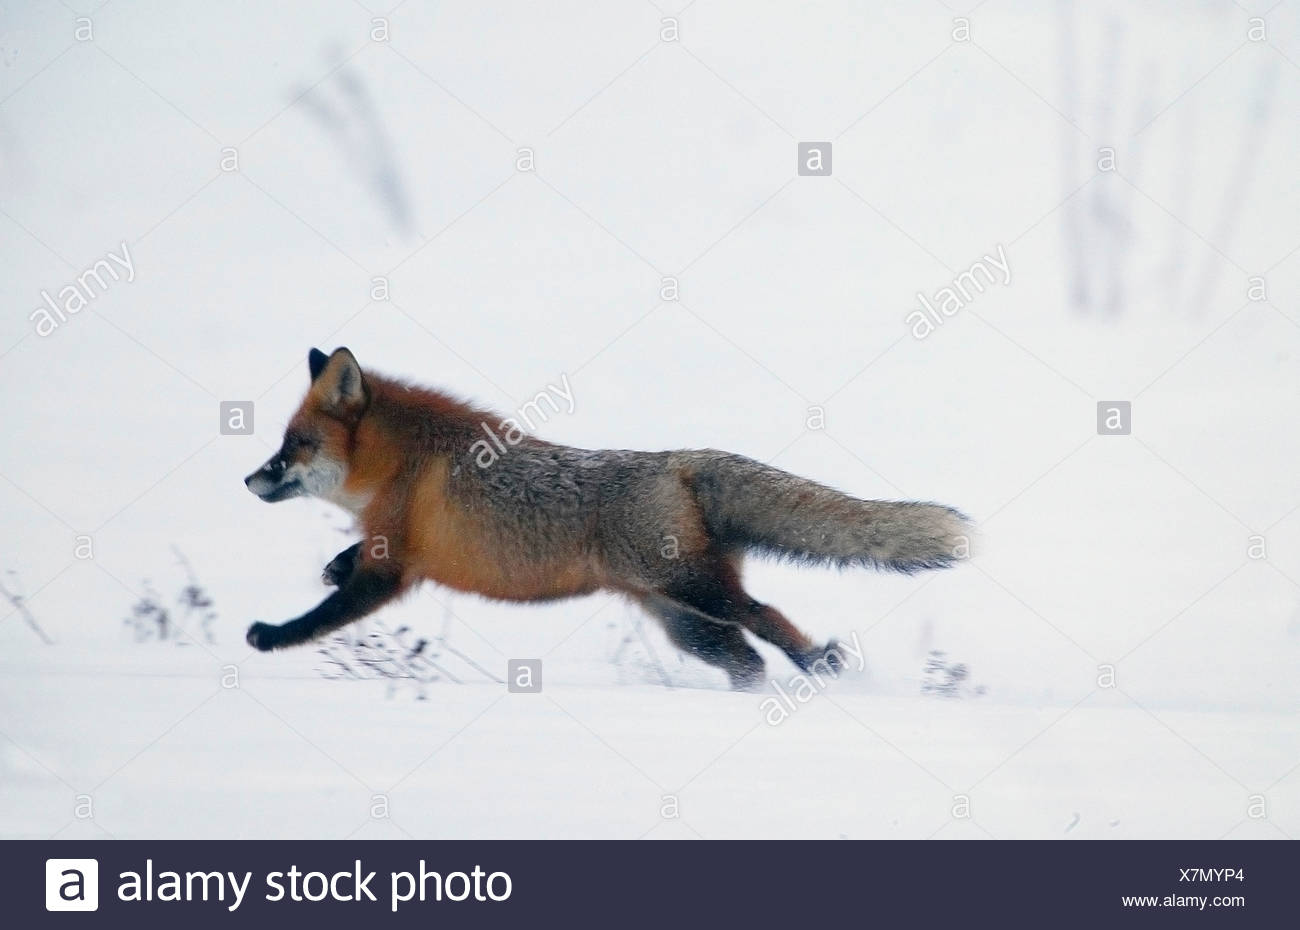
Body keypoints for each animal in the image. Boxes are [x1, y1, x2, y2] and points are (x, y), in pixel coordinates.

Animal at [243, 347, 972, 689]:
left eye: (294, 446)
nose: (250, 480)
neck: (405, 468)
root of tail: (679, 461)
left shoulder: (393, 572)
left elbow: (321, 618)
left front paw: (269, 636)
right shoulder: (385, 548)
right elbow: (342, 567)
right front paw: (328, 566)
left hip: (697, 593)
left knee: (766, 617)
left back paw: (820, 665)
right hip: (687, 625)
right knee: (746, 660)